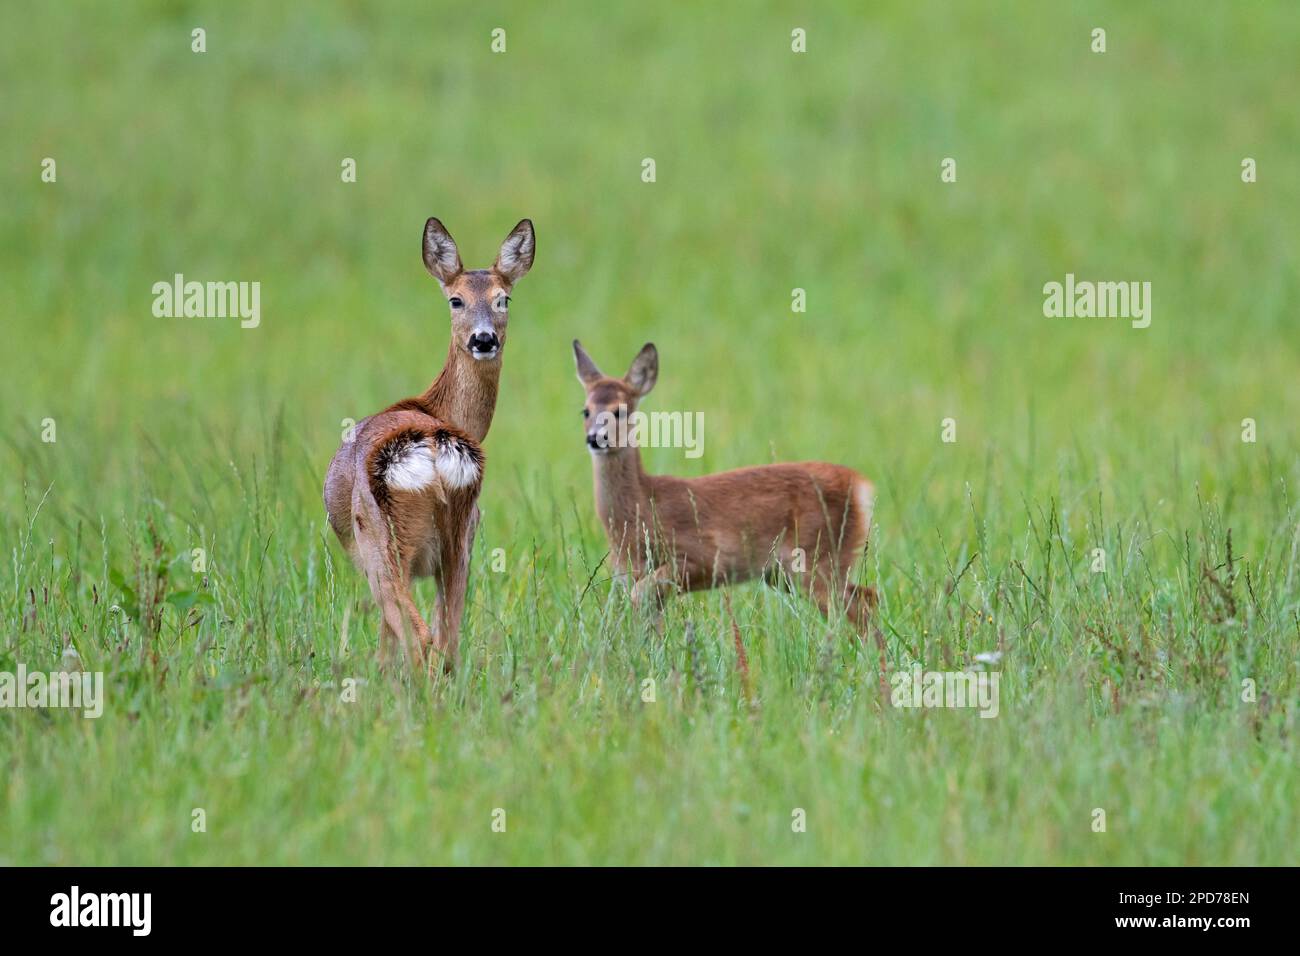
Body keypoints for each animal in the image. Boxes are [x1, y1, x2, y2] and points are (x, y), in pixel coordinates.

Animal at [324, 218, 535, 673]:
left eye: (503, 298)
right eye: (456, 300)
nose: (483, 339)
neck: (438, 409)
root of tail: (435, 451)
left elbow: (387, 640)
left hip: (380, 540)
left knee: (418, 638)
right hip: (460, 530)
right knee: (448, 640)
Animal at [572, 340, 878, 637]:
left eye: (620, 411)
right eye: (586, 410)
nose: (596, 438)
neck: (643, 507)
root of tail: (861, 486)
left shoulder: (702, 557)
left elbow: (641, 595)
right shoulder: (627, 575)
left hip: (818, 557)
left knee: (861, 604)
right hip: (789, 573)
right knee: (866, 596)